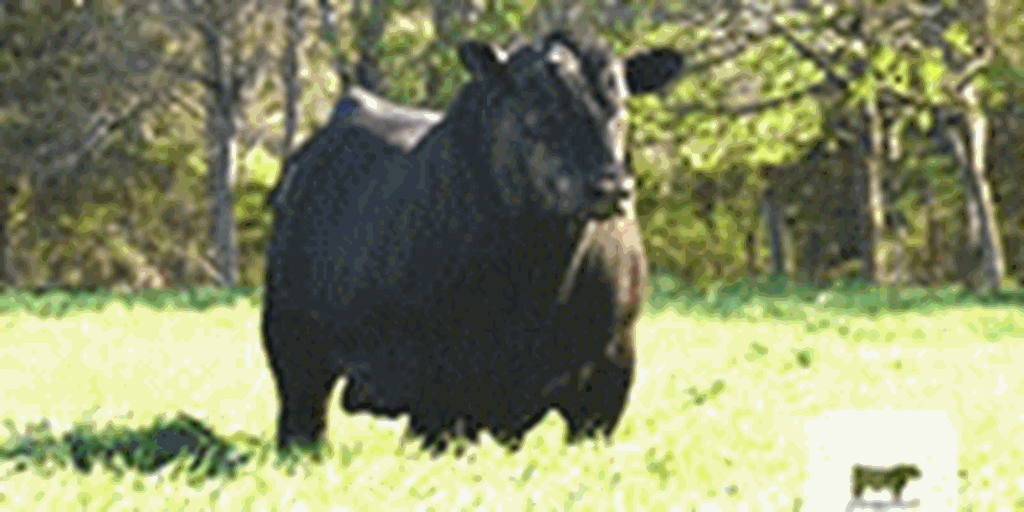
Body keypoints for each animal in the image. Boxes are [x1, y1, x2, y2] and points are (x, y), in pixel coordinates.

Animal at [263, 31, 683, 452]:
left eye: (621, 108)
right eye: (538, 109)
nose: (610, 187)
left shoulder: (607, 381)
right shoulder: (437, 391)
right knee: (301, 423)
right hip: (292, 349)